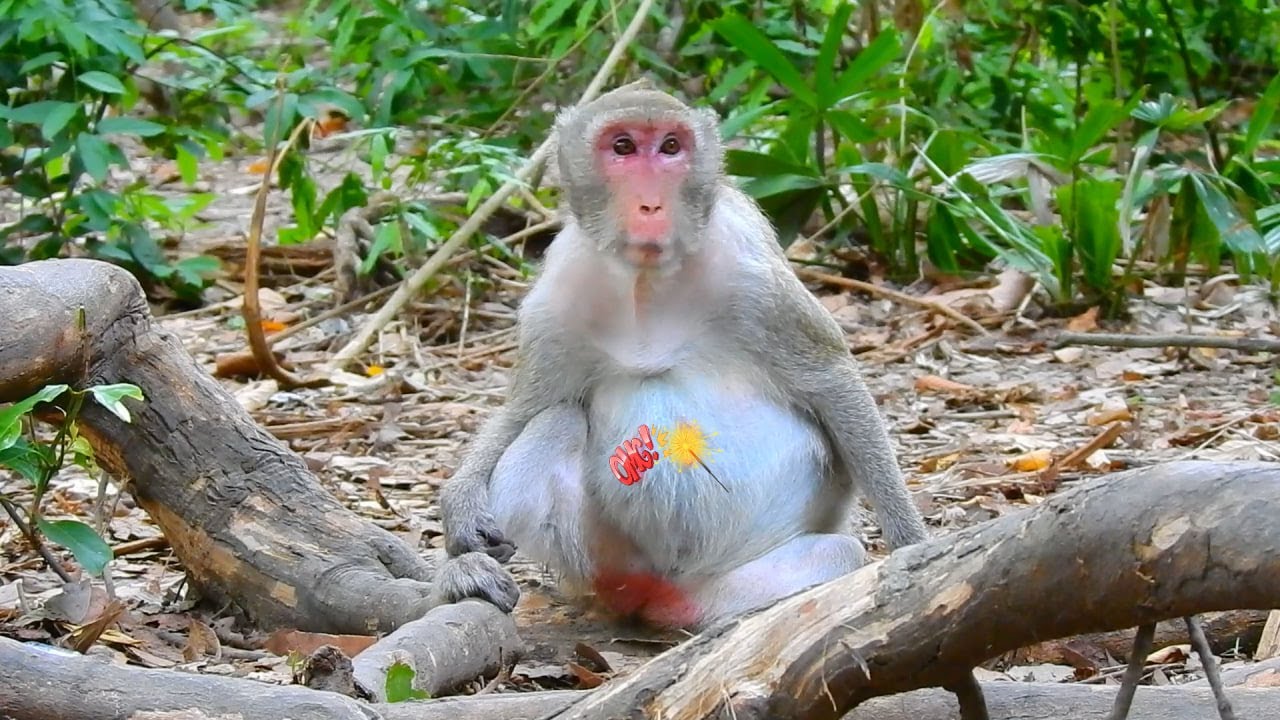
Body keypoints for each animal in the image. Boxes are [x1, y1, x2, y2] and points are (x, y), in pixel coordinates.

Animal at [433, 81, 930, 631]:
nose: (652, 206)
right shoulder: (558, 293)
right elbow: (524, 409)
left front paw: (912, 546)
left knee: (840, 556)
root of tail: (660, 588)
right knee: (555, 421)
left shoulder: (751, 270)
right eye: (623, 146)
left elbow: (831, 381)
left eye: (671, 147)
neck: (648, 281)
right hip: (603, 556)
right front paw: (461, 519)